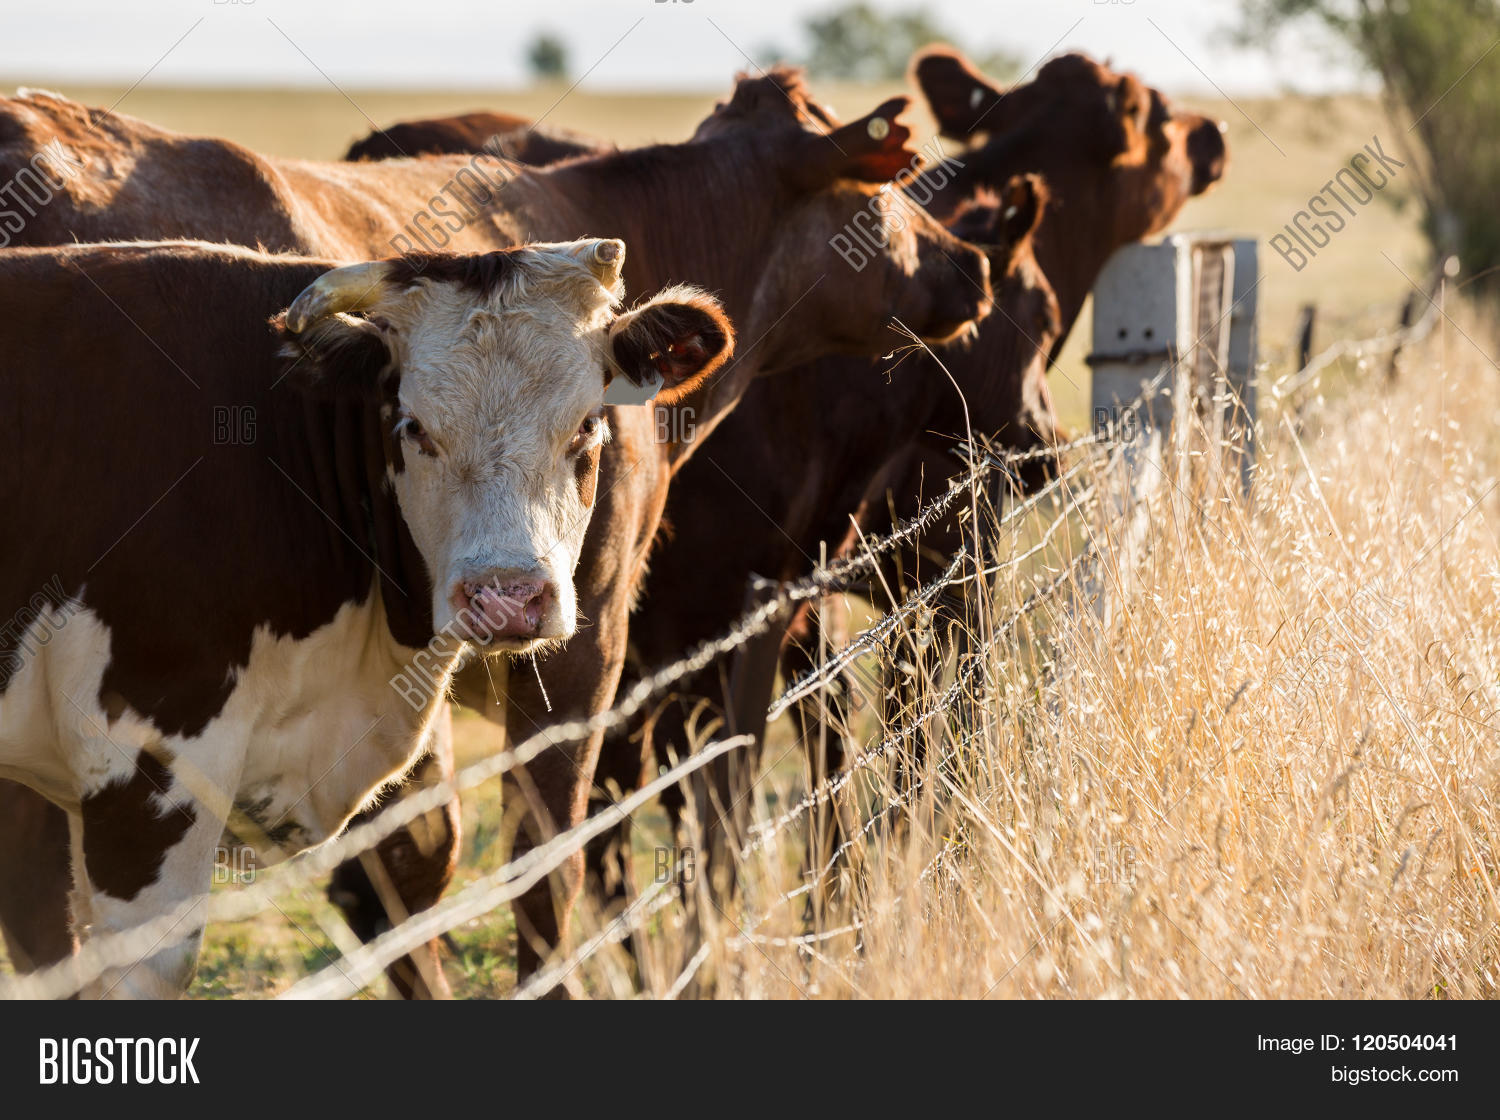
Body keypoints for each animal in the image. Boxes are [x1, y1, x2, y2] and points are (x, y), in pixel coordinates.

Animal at [586, 48, 1231, 906]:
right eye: (1155, 113)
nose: (1213, 134)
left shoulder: (828, 595)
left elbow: (849, 730)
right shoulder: (938, 567)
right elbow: (928, 724)